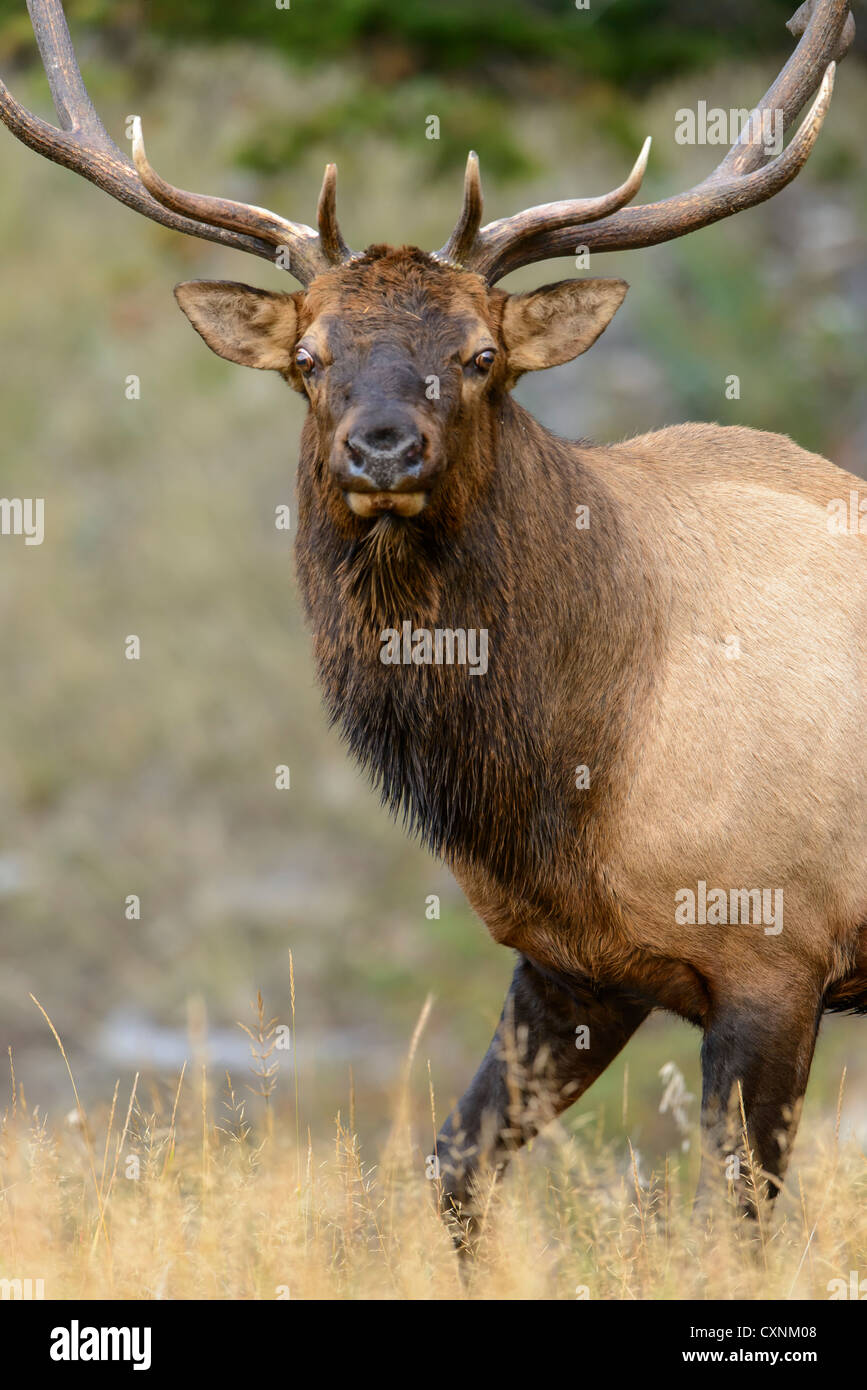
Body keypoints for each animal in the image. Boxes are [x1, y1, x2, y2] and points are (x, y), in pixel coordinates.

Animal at [2, 0, 864, 1251]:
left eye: (482, 355)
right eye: (308, 358)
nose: (382, 450)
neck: (572, 777)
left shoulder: (776, 948)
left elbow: (732, 1230)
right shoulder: (574, 964)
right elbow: (455, 1166)